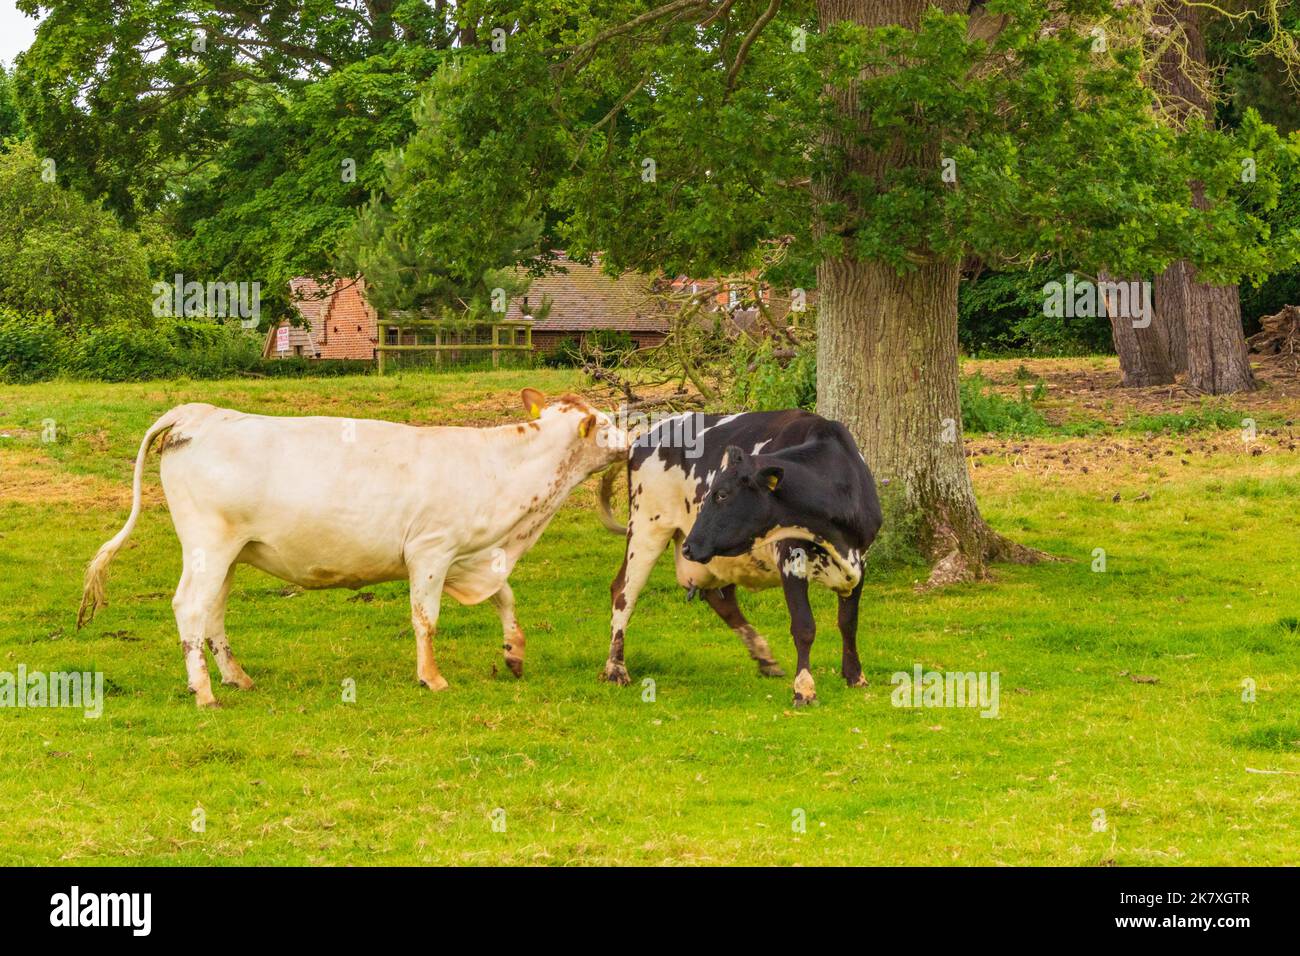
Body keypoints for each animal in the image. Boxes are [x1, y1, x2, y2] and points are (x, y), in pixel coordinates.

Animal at [78, 389, 627, 707]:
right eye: (603, 423)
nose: (632, 441)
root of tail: (201, 413)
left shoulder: (474, 556)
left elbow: (505, 598)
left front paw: (513, 654)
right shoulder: (431, 551)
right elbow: (425, 619)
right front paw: (432, 678)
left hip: (228, 553)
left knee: (212, 611)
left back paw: (236, 677)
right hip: (208, 544)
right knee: (190, 607)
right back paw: (205, 691)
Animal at [596, 410, 882, 705]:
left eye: (722, 494)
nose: (690, 546)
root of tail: (648, 434)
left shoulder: (860, 562)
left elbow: (848, 623)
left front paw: (855, 676)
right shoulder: (791, 560)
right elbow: (804, 627)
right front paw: (804, 688)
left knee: (720, 599)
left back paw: (764, 656)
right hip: (648, 527)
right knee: (623, 592)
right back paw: (616, 668)